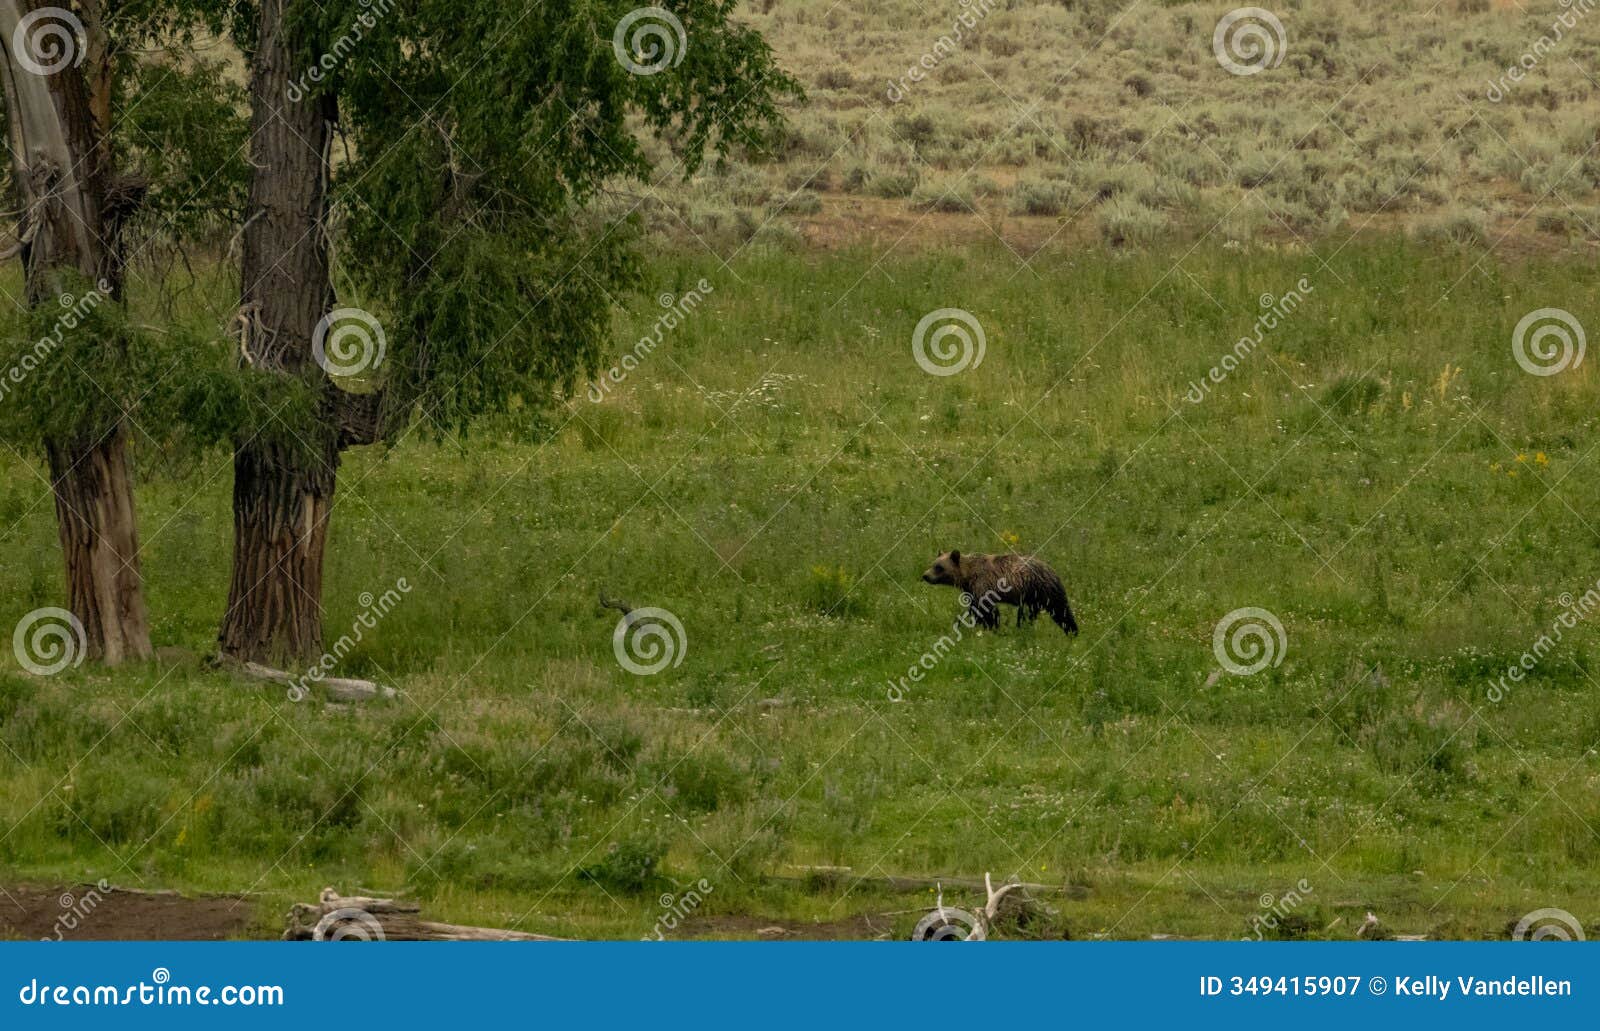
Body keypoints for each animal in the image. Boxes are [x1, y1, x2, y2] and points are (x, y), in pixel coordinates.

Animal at [921, 551, 1078, 635]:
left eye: (939, 567)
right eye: (933, 564)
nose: (925, 575)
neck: (968, 576)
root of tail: (1051, 569)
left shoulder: (983, 584)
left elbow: (987, 611)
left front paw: (991, 627)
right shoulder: (971, 590)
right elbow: (974, 609)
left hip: (1040, 589)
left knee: (1060, 610)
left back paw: (1072, 631)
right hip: (1033, 597)